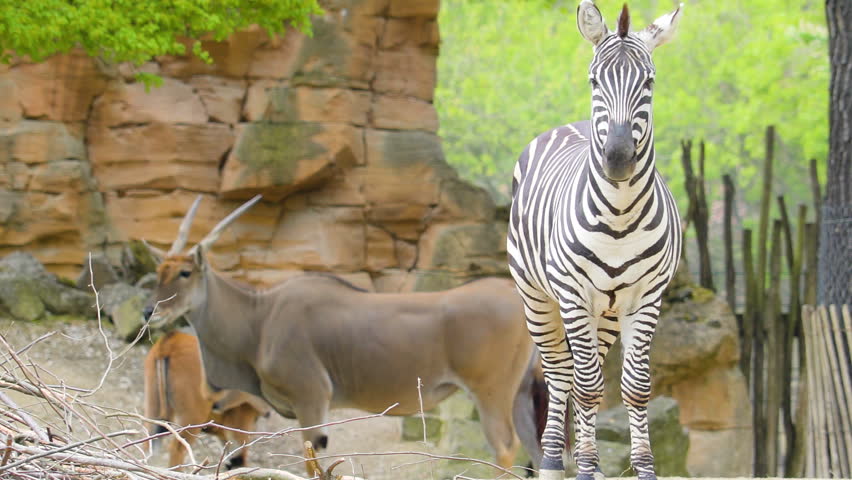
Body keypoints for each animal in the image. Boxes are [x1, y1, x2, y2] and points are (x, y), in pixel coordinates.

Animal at [506, 2, 683, 480]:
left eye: (649, 82)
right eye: (594, 81)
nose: (618, 159)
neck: (620, 216)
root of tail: (572, 124)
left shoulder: (647, 298)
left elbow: (634, 387)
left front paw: (644, 468)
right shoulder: (572, 294)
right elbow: (585, 386)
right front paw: (582, 466)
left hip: (605, 311)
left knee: (590, 371)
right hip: (537, 299)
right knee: (561, 371)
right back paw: (556, 461)